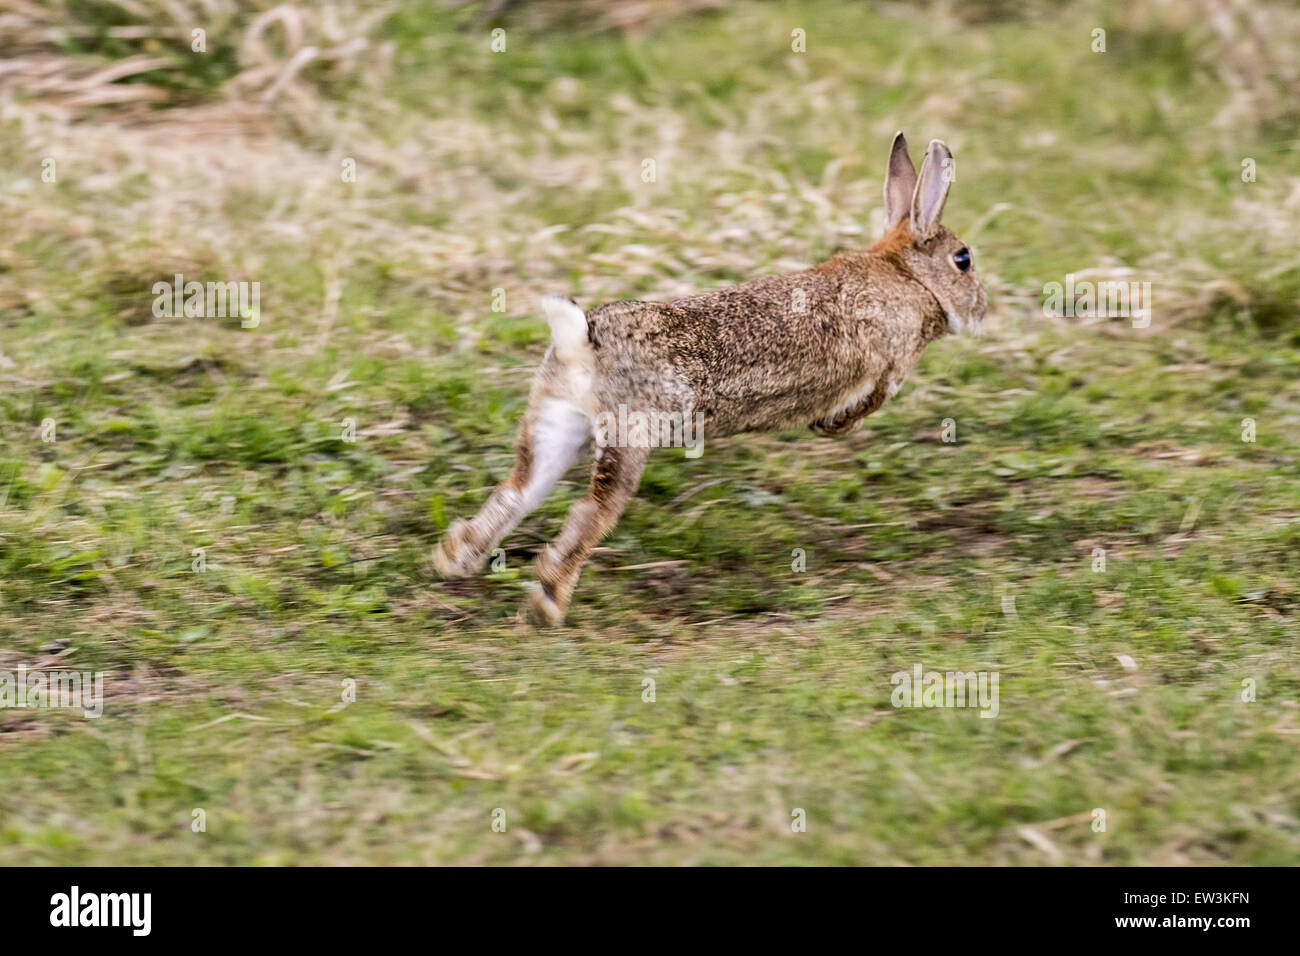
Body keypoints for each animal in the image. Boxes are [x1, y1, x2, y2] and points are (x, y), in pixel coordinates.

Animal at [434, 132, 986, 625]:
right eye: (963, 259)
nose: (982, 310)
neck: (908, 277)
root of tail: (582, 338)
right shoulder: (884, 367)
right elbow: (866, 398)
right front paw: (832, 425)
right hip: (630, 434)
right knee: (590, 514)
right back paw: (547, 604)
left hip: (557, 419)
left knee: (519, 489)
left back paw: (454, 560)